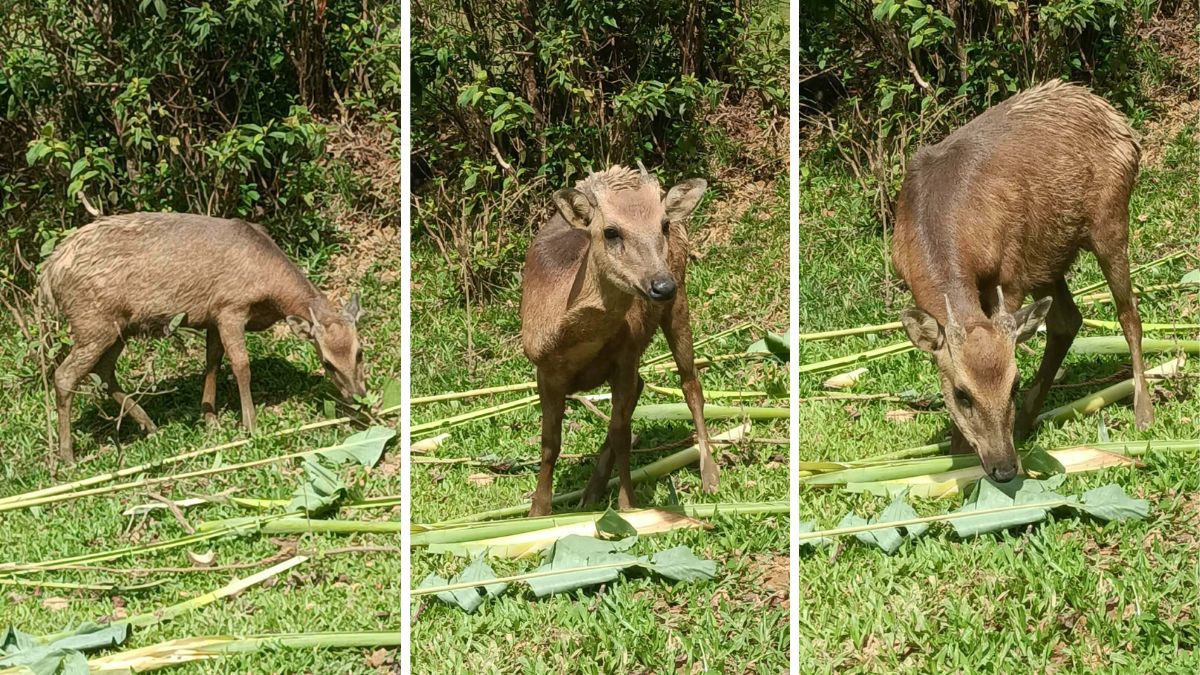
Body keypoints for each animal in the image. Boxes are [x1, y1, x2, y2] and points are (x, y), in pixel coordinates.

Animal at [39, 212, 367, 462]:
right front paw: (250, 425)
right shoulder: (231, 308)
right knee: (65, 375)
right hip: (92, 321)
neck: (270, 293)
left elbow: (212, 362)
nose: (359, 396)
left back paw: (150, 425)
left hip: (117, 327)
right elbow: (241, 365)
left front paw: (210, 418)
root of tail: (48, 276)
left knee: (104, 372)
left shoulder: (213, 317)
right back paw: (68, 456)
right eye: (326, 363)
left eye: (360, 352)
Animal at [520, 163, 716, 516]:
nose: (661, 285)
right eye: (611, 232)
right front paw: (537, 512)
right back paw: (591, 492)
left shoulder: (627, 353)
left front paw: (628, 506)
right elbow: (550, 443)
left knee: (690, 383)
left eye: (663, 225)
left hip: (679, 299)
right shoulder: (544, 370)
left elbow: (622, 433)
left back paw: (710, 475)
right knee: (638, 392)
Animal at [892, 80, 1152, 482]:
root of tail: (1117, 118)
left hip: (1109, 217)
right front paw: (956, 451)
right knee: (1066, 319)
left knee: (1128, 312)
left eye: (1014, 384)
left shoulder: (1010, 272)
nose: (1004, 467)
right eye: (962, 394)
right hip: (1048, 255)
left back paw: (1143, 413)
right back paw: (1029, 421)